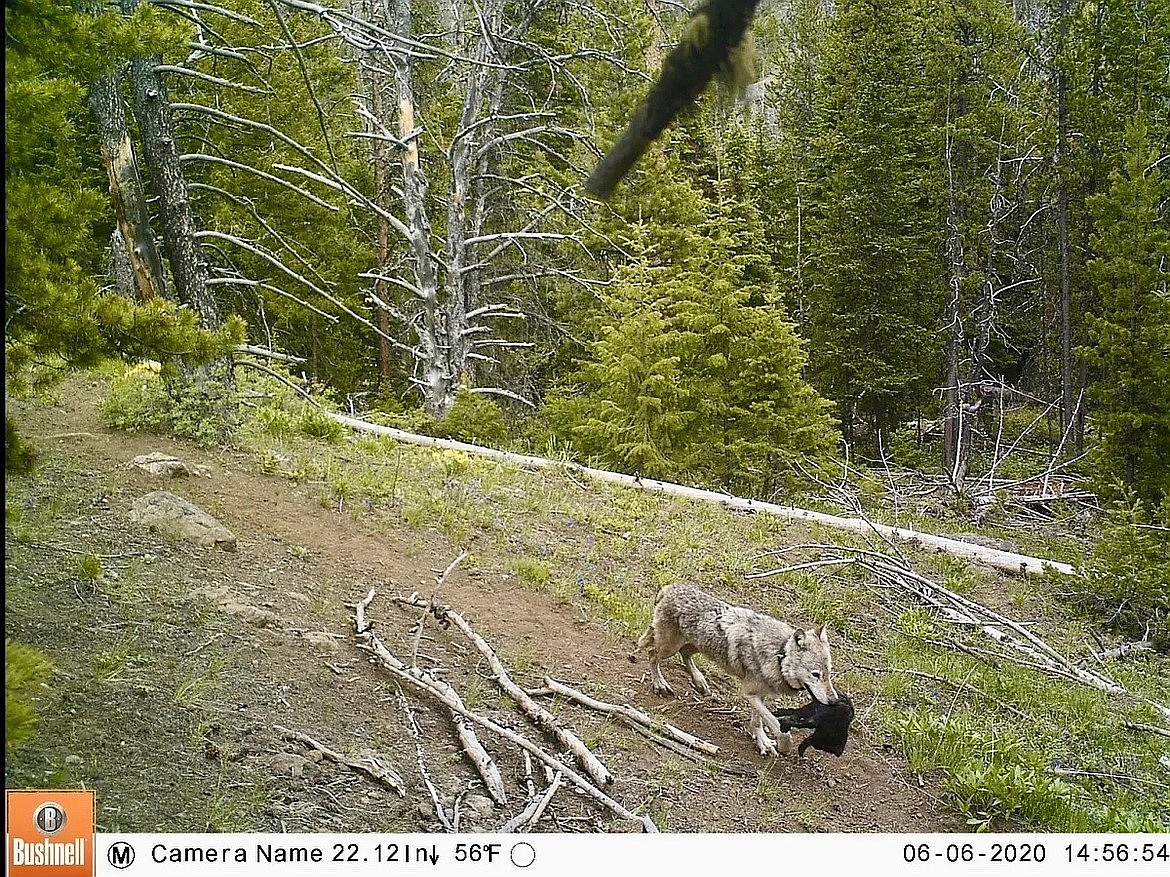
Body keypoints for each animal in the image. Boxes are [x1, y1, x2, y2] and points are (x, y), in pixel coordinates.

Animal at [636, 584, 838, 756]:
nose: (835, 701)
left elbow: (757, 721)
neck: (779, 654)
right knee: (652, 654)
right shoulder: (749, 693)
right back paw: (660, 684)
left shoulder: (759, 694)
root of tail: (670, 587)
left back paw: (699, 681)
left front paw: (762, 742)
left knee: (683, 654)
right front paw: (782, 745)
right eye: (816, 675)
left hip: (696, 646)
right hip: (669, 647)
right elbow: (777, 726)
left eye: (828, 674)